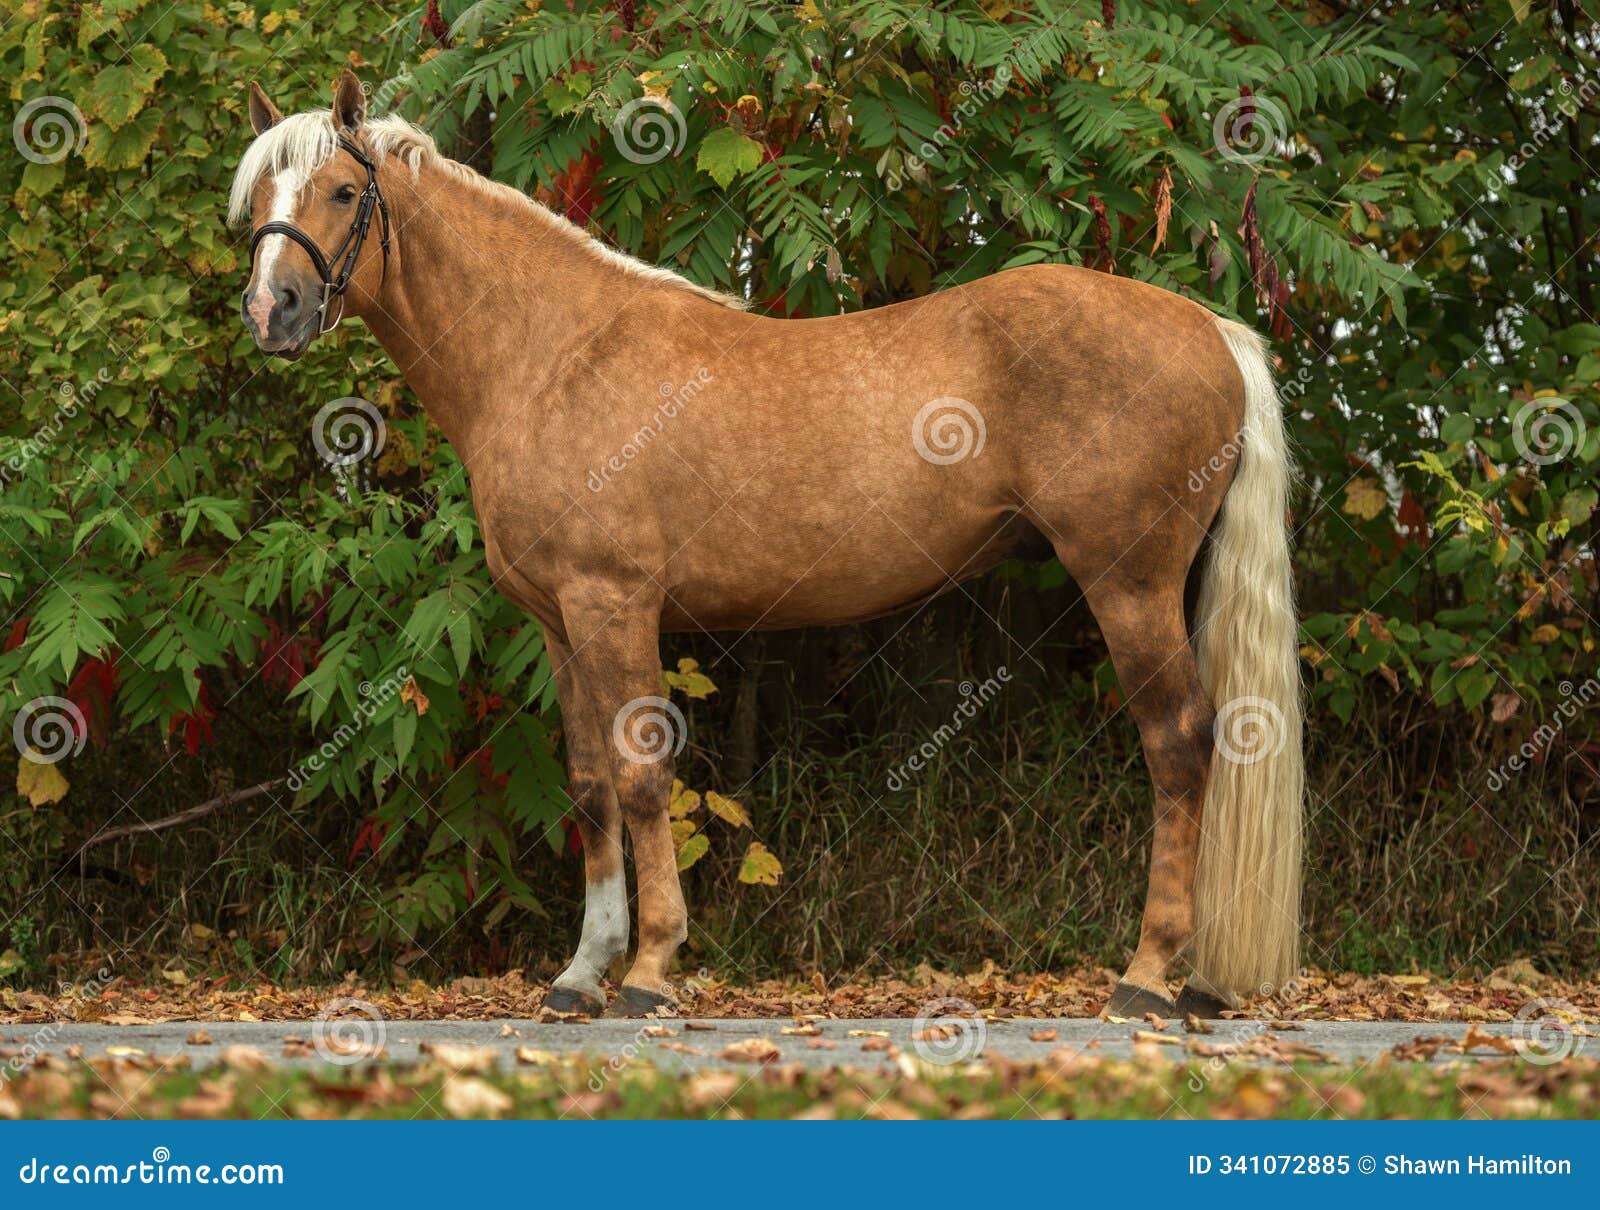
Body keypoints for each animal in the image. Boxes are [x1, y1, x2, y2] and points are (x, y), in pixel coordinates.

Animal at [232, 71, 1303, 1019]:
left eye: (341, 190)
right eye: (257, 205)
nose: (272, 312)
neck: (554, 353)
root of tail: (1208, 326)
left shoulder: (615, 603)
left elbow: (641, 776)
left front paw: (650, 972)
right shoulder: (560, 621)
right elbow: (590, 789)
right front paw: (581, 976)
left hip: (1129, 583)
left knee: (1180, 744)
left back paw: (1147, 977)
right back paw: (1200, 983)